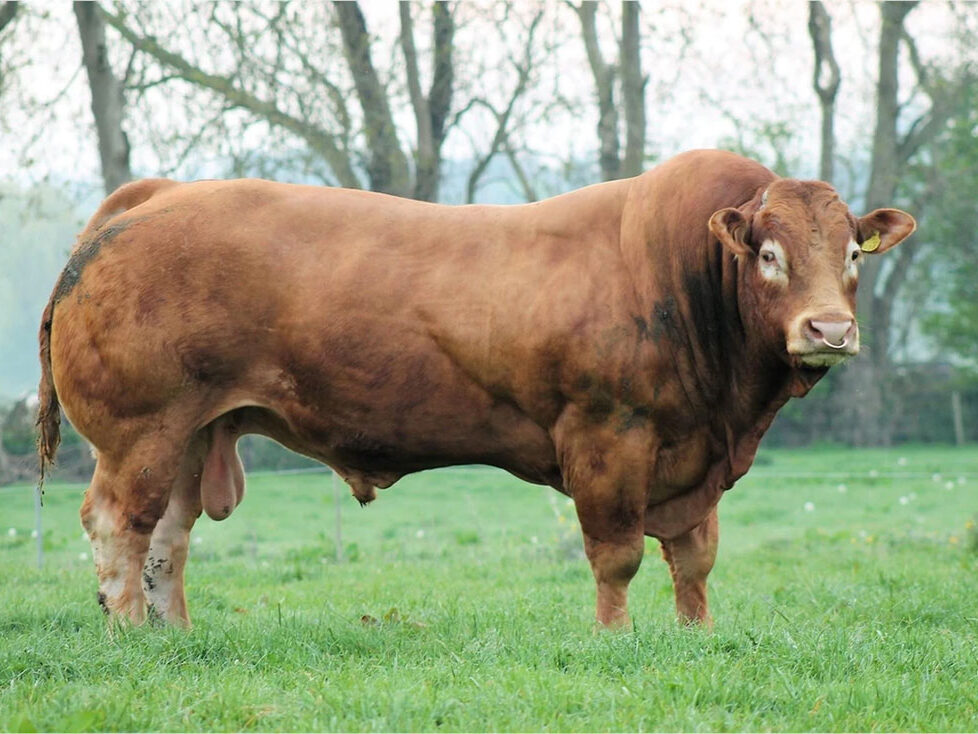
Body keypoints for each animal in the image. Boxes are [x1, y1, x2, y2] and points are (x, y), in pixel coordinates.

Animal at [37, 149, 915, 629]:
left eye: (852, 254)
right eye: (768, 254)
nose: (829, 331)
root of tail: (156, 194)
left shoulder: (692, 457)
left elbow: (694, 560)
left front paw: (693, 636)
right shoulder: (607, 436)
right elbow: (619, 556)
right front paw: (616, 637)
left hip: (191, 433)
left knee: (167, 537)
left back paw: (173, 636)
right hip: (140, 430)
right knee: (119, 525)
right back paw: (127, 634)